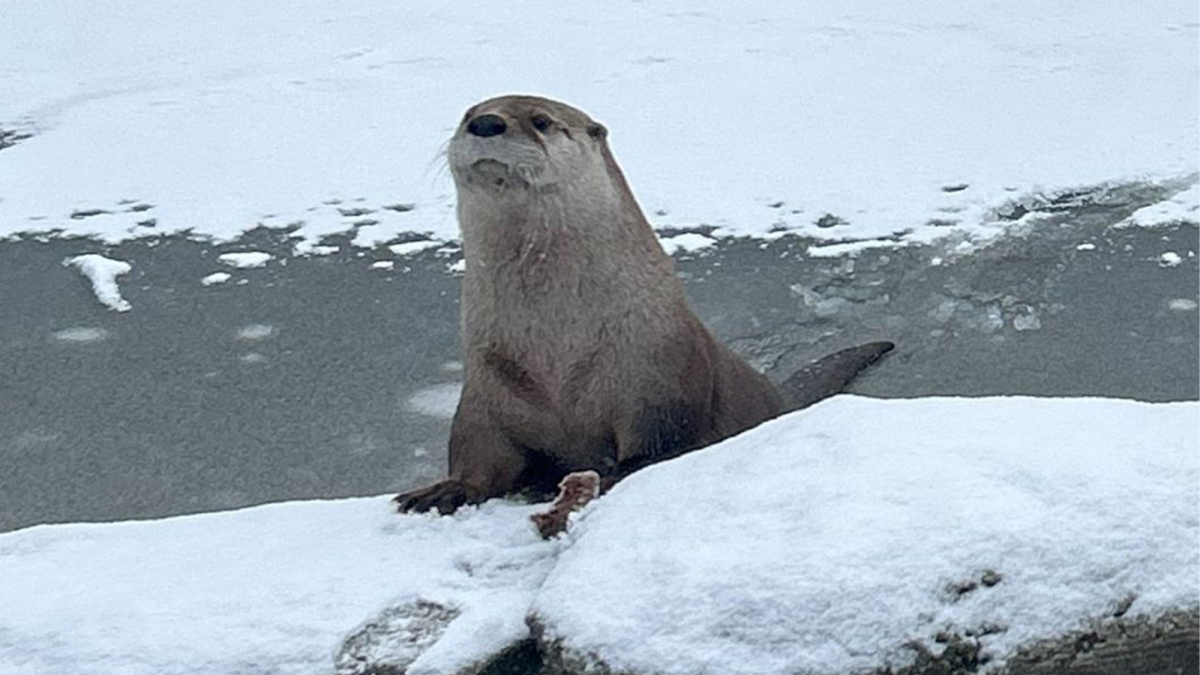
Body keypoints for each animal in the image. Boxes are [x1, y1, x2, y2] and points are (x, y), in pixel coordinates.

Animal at [395, 95, 892, 515]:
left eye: (540, 121)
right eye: (468, 113)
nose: (486, 123)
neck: (558, 348)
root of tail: (780, 399)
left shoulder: (658, 379)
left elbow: (659, 449)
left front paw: (611, 477)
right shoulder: (488, 381)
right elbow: (478, 452)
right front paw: (443, 490)